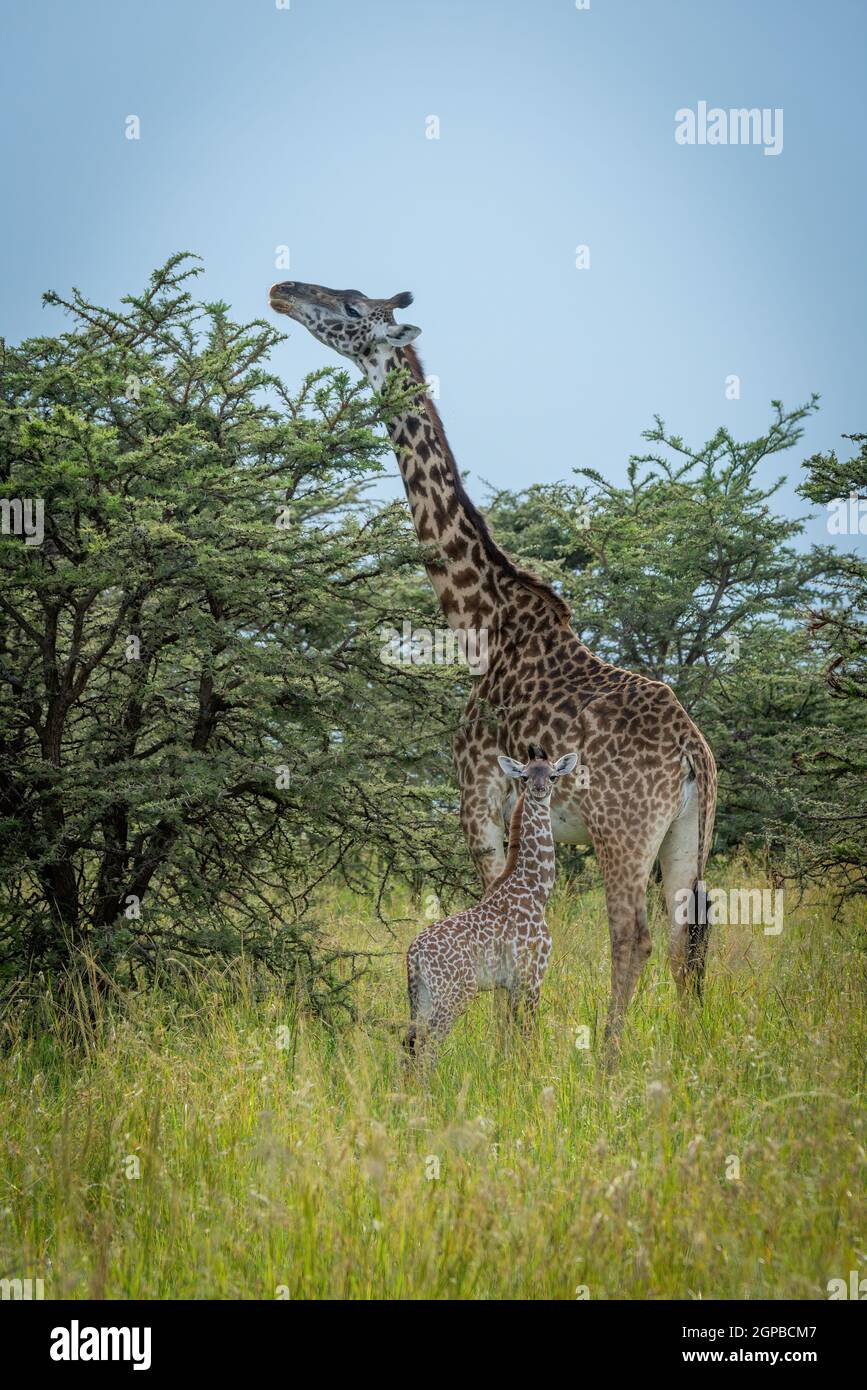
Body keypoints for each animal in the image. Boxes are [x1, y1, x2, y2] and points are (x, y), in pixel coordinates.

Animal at [405, 746, 578, 1064]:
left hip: (420, 995)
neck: (537, 890)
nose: (539, 790)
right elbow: (529, 1031)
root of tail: (413, 954)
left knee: (408, 1046)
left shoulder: (509, 984)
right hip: (454, 994)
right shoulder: (532, 974)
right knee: (427, 1048)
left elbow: (510, 1034)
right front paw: (533, 1069)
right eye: (524, 776)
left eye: (553, 775)